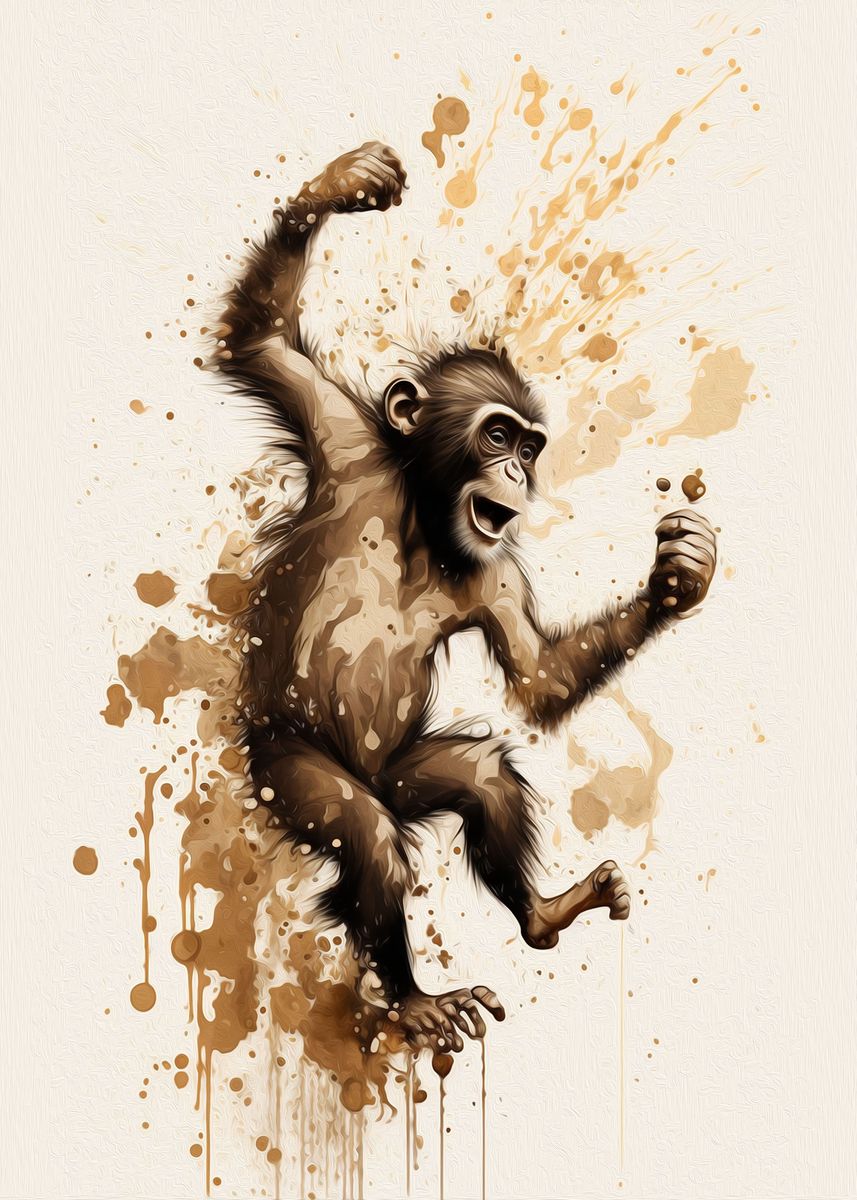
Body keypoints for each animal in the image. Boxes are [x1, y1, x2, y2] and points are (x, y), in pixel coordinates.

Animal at [216, 142, 716, 1054]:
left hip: (405, 768)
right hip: (287, 768)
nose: (518, 472)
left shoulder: (498, 575)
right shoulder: (338, 431)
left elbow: (537, 677)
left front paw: (679, 576)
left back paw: (544, 913)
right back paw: (413, 998)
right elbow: (260, 341)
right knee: (368, 837)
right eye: (496, 434)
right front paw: (343, 184)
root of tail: (377, 780)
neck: (420, 513)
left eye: (529, 445)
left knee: (480, 775)